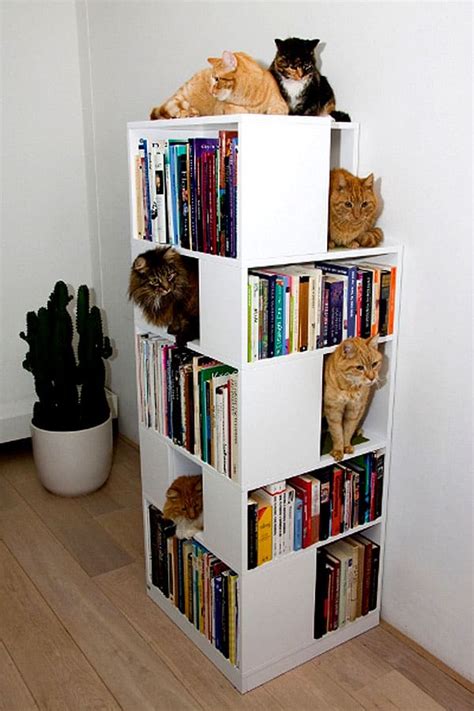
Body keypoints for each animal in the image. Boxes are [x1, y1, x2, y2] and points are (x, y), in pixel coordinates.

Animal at [150, 50, 286, 119]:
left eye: (216, 79)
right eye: (212, 79)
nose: (211, 91)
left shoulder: (281, 105)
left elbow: (276, 111)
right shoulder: (223, 108)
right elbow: (237, 110)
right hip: (180, 95)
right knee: (169, 107)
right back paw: (187, 112)